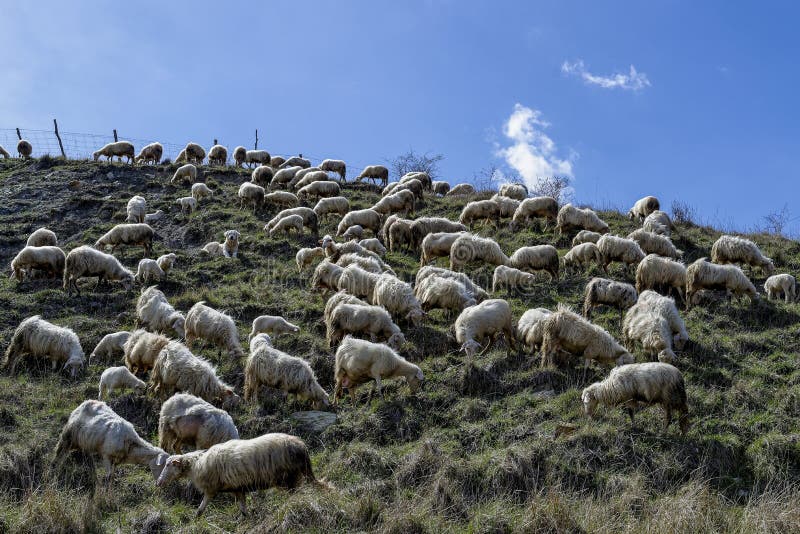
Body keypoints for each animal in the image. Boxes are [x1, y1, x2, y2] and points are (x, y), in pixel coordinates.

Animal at [155, 433, 318, 517]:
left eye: (168, 465)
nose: (158, 483)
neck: (197, 464)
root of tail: (300, 446)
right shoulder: (238, 488)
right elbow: (243, 509)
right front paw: (247, 519)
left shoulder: (211, 489)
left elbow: (201, 508)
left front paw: (194, 518)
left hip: (288, 476)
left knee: (295, 493)